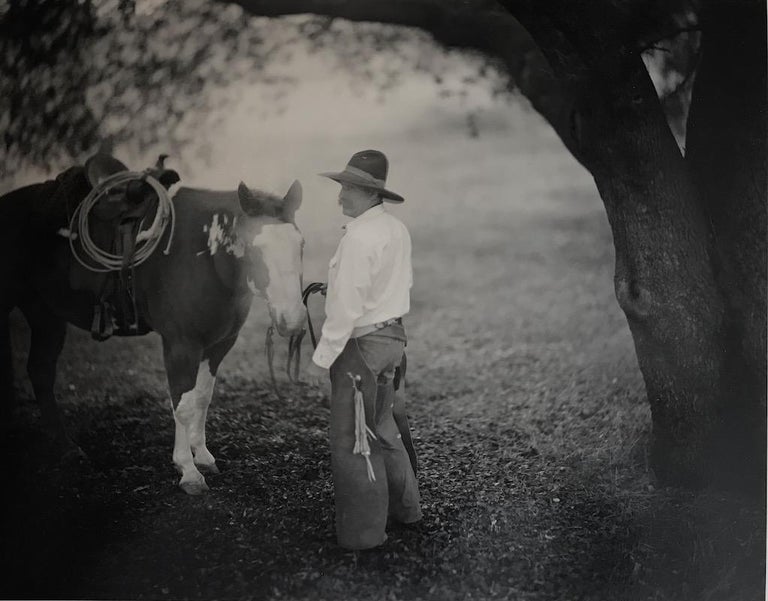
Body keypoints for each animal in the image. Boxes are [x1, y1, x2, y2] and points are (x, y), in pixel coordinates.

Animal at [0, 154, 306, 495]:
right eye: (254, 250)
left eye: (300, 245)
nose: (292, 318)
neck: (202, 254)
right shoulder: (181, 345)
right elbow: (182, 404)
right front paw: (188, 471)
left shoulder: (218, 345)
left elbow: (202, 397)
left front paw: (203, 456)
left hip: (45, 314)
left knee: (41, 372)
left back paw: (67, 448)